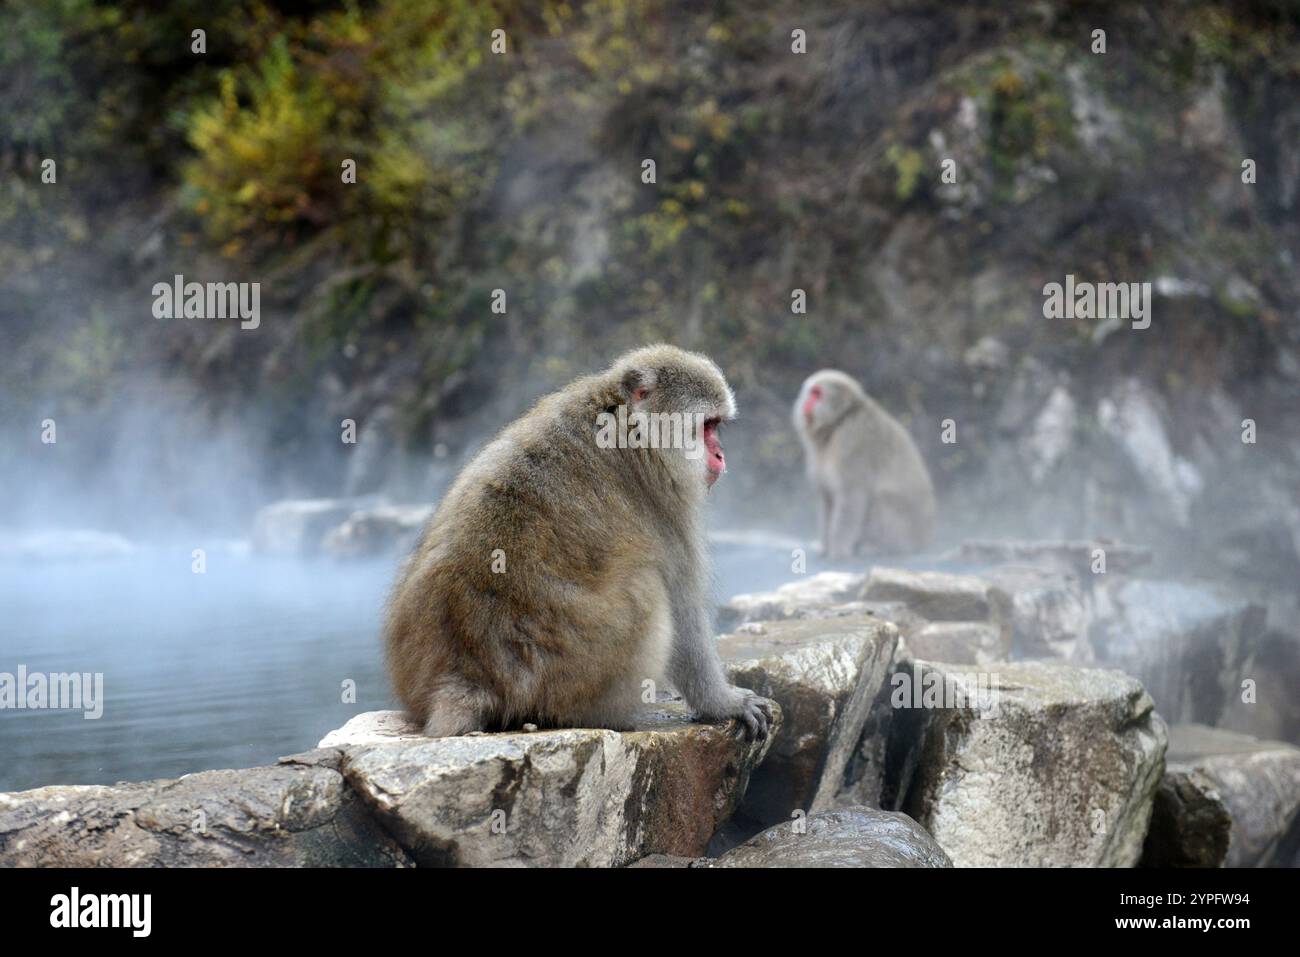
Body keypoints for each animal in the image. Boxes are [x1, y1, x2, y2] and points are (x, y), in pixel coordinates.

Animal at [385, 344, 772, 740]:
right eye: (707, 426)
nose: (720, 455)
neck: (629, 422)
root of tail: (464, 678)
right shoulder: (668, 496)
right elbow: (684, 610)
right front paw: (723, 703)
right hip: (573, 670)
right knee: (647, 589)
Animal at [793, 369, 936, 559]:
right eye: (809, 393)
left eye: (817, 394)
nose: (806, 404)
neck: (838, 423)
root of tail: (927, 542)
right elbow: (826, 496)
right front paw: (825, 548)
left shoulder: (853, 440)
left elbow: (852, 496)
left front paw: (838, 551)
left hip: (906, 532)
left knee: (879, 501)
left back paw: (880, 548)